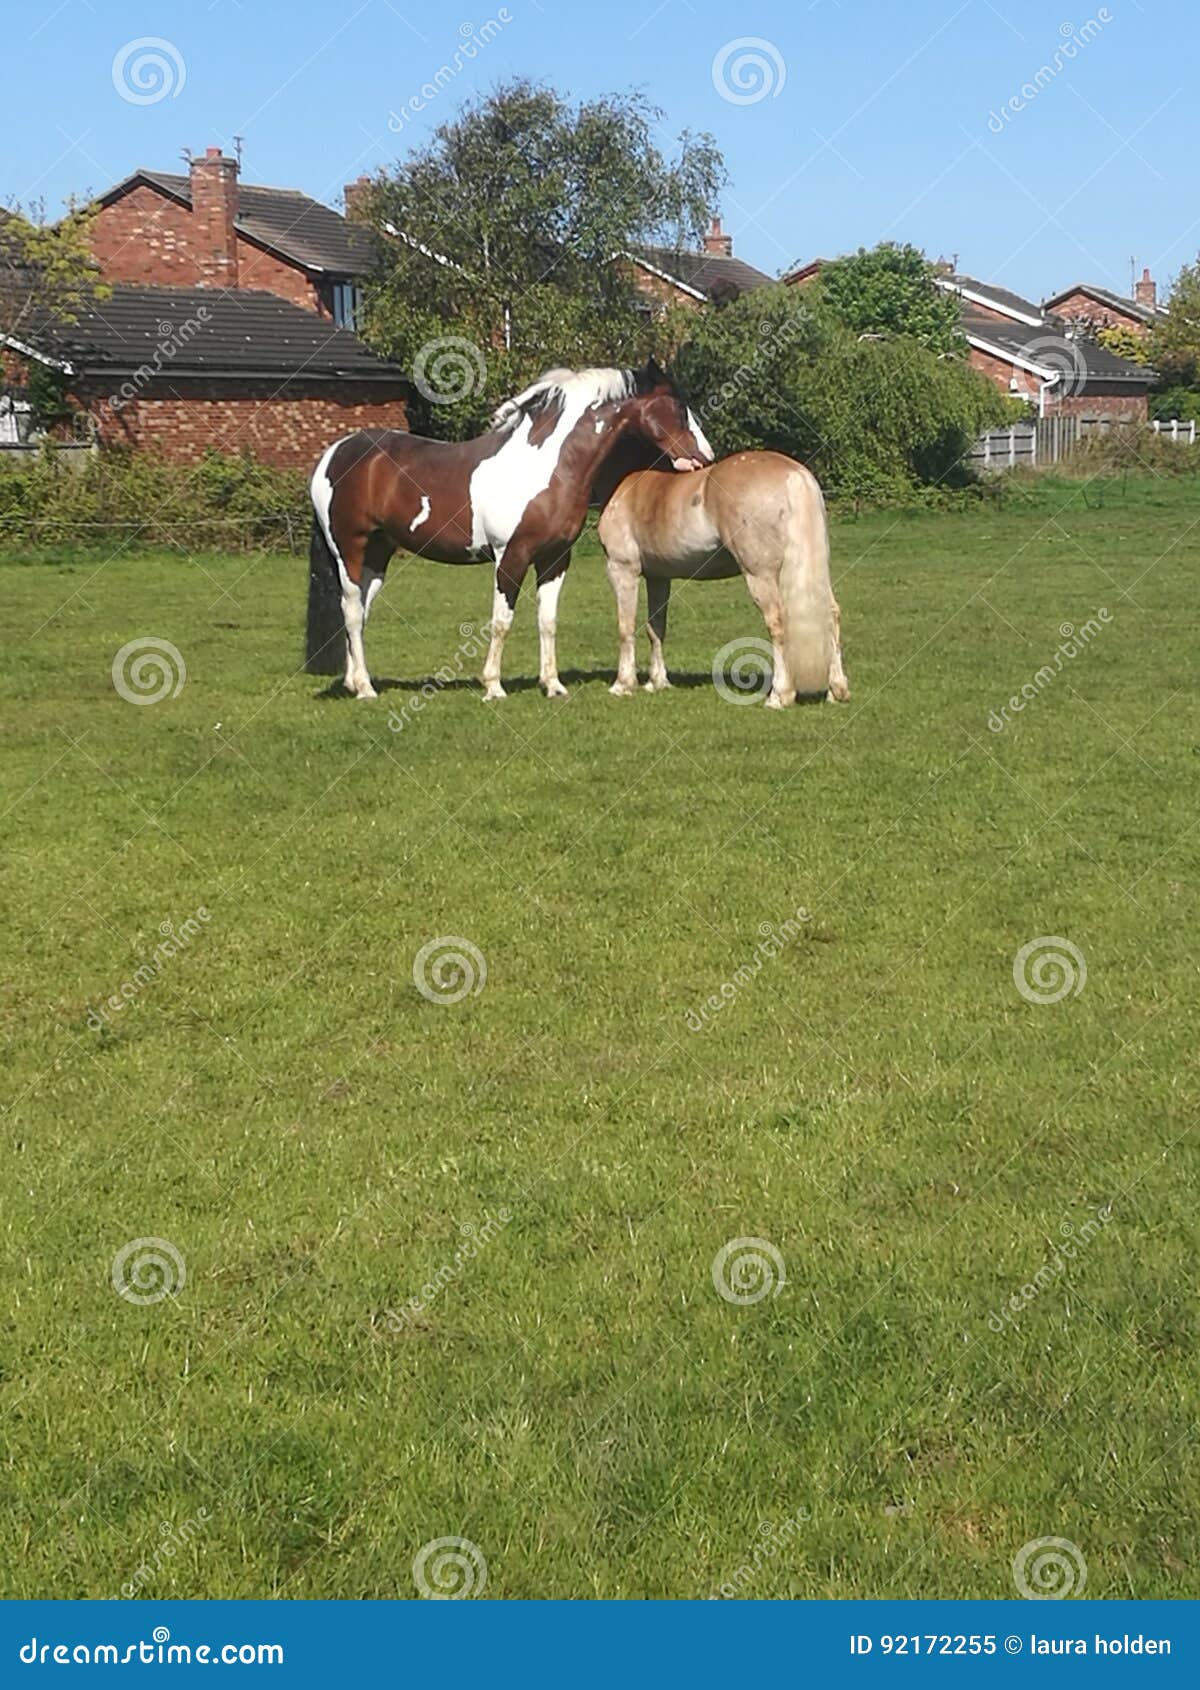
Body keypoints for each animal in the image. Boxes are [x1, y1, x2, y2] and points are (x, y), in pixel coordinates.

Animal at [304, 360, 714, 701]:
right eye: (678, 407)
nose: (706, 458)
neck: (547, 465)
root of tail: (333, 455)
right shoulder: (510, 556)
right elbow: (501, 622)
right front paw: (493, 687)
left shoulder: (555, 559)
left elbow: (547, 621)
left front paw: (553, 685)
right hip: (350, 551)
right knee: (351, 611)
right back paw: (365, 689)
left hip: (377, 554)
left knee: (359, 612)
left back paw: (352, 681)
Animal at [596, 449, 850, 709]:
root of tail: (795, 473)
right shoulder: (659, 577)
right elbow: (655, 628)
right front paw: (657, 682)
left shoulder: (622, 569)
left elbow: (625, 627)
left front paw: (623, 685)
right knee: (831, 614)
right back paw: (836, 691)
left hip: (759, 576)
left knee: (777, 621)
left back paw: (779, 696)